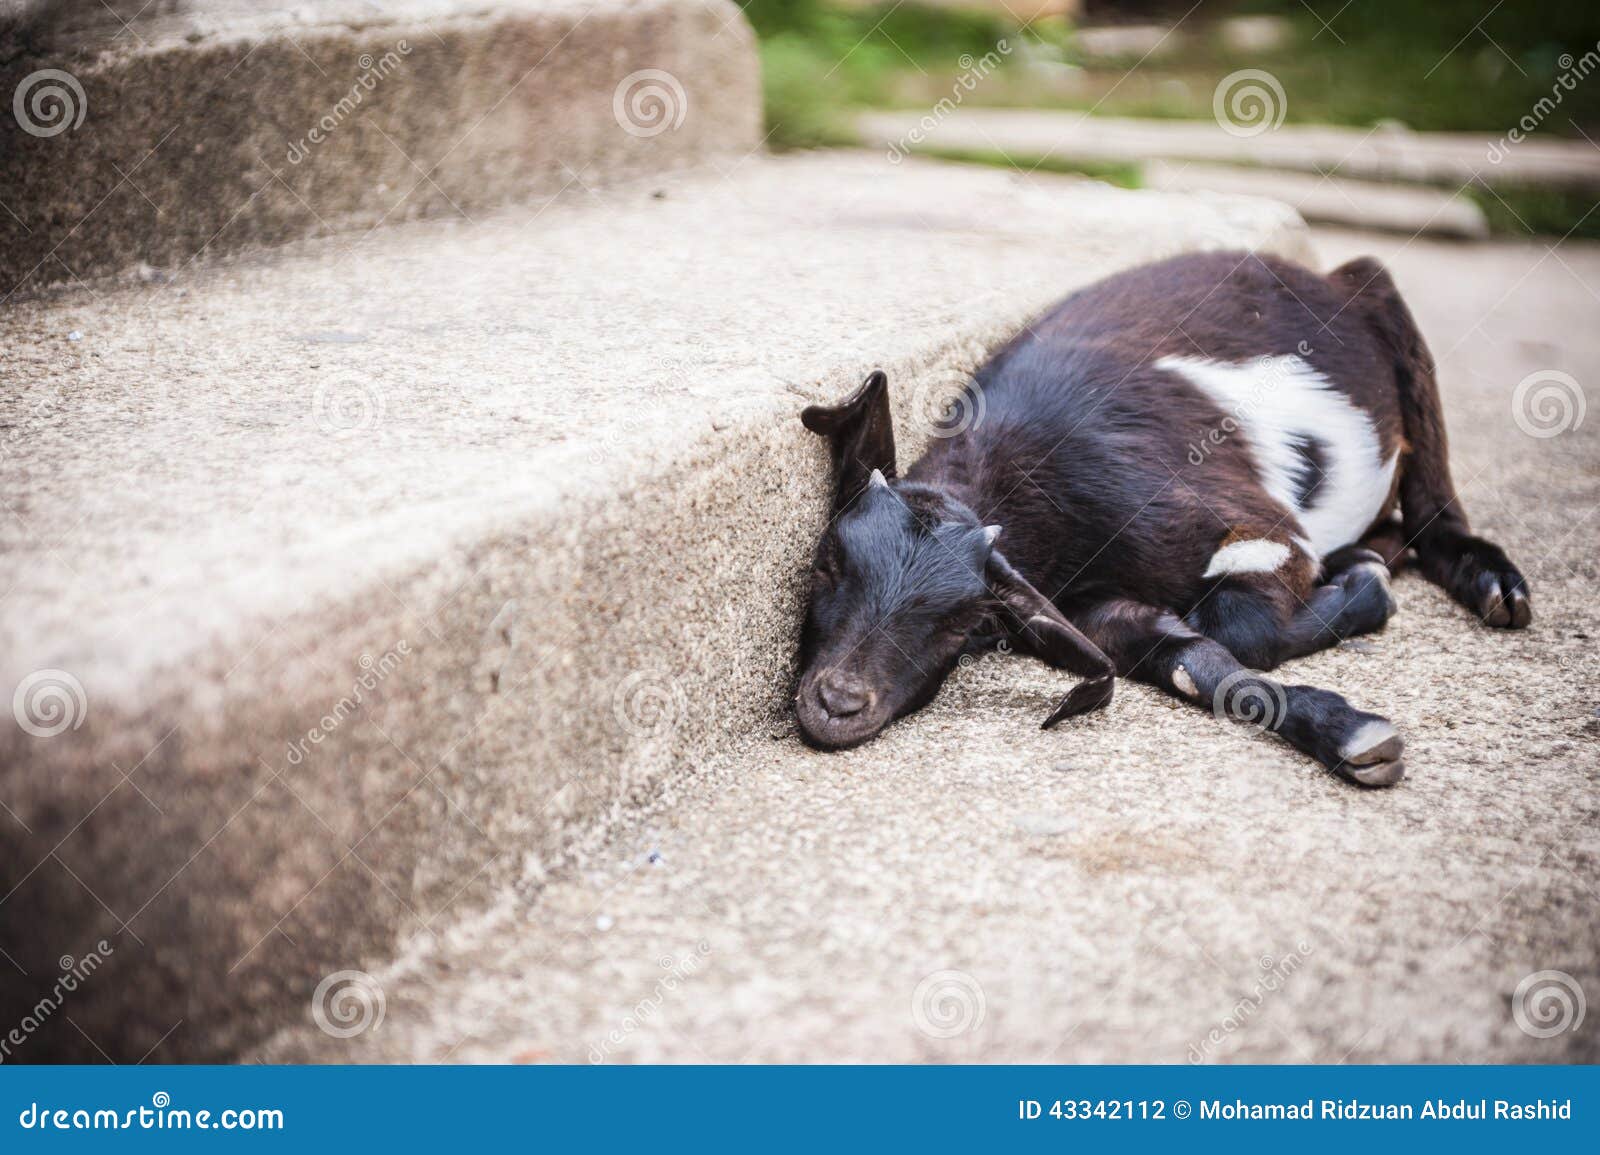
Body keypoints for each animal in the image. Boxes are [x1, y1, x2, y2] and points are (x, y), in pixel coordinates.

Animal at [794, 251, 1532, 786]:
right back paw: (1373, 552)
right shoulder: (1097, 612)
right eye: (826, 565)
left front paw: (1364, 596)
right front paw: (1347, 728)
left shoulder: (1256, 530)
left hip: (1389, 310)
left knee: (1438, 509)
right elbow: (1194, 658)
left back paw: (1489, 582)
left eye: (965, 623)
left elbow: (1241, 628)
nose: (836, 703)